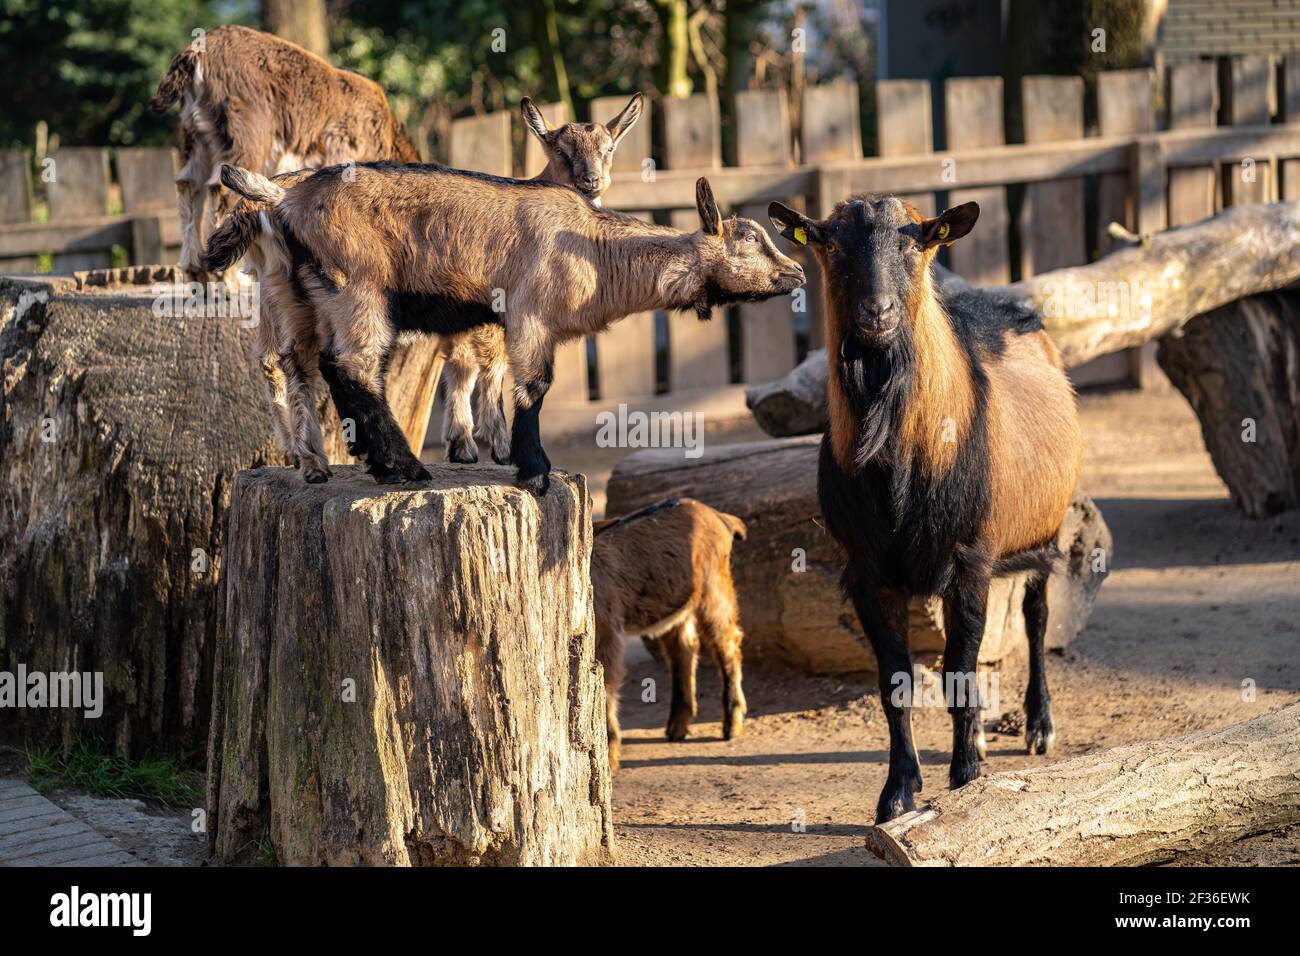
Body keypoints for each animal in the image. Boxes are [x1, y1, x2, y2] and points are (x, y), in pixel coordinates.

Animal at [205, 166, 805, 493]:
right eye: (751, 240)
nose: (797, 272)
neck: (594, 247)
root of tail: (282, 198)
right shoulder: (529, 314)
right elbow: (532, 388)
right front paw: (533, 470)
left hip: (297, 294)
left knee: (305, 369)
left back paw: (328, 465)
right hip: (358, 286)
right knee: (349, 367)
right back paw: (402, 467)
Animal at [591, 498, 748, 770]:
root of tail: (720, 517)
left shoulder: (607, 635)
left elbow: (606, 686)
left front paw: (609, 759)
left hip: (714, 590)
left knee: (727, 645)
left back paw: (731, 725)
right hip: (676, 608)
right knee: (684, 649)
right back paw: (677, 728)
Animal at [769, 195, 1083, 824]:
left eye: (915, 241)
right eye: (830, 243)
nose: (877, 311)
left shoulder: (969, 558)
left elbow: (960, 668)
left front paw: (965, 779)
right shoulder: (868, 572)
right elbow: (896, 682)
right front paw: (897, 793)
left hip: (1044, 528)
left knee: (1035, 615)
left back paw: (1038, 725)